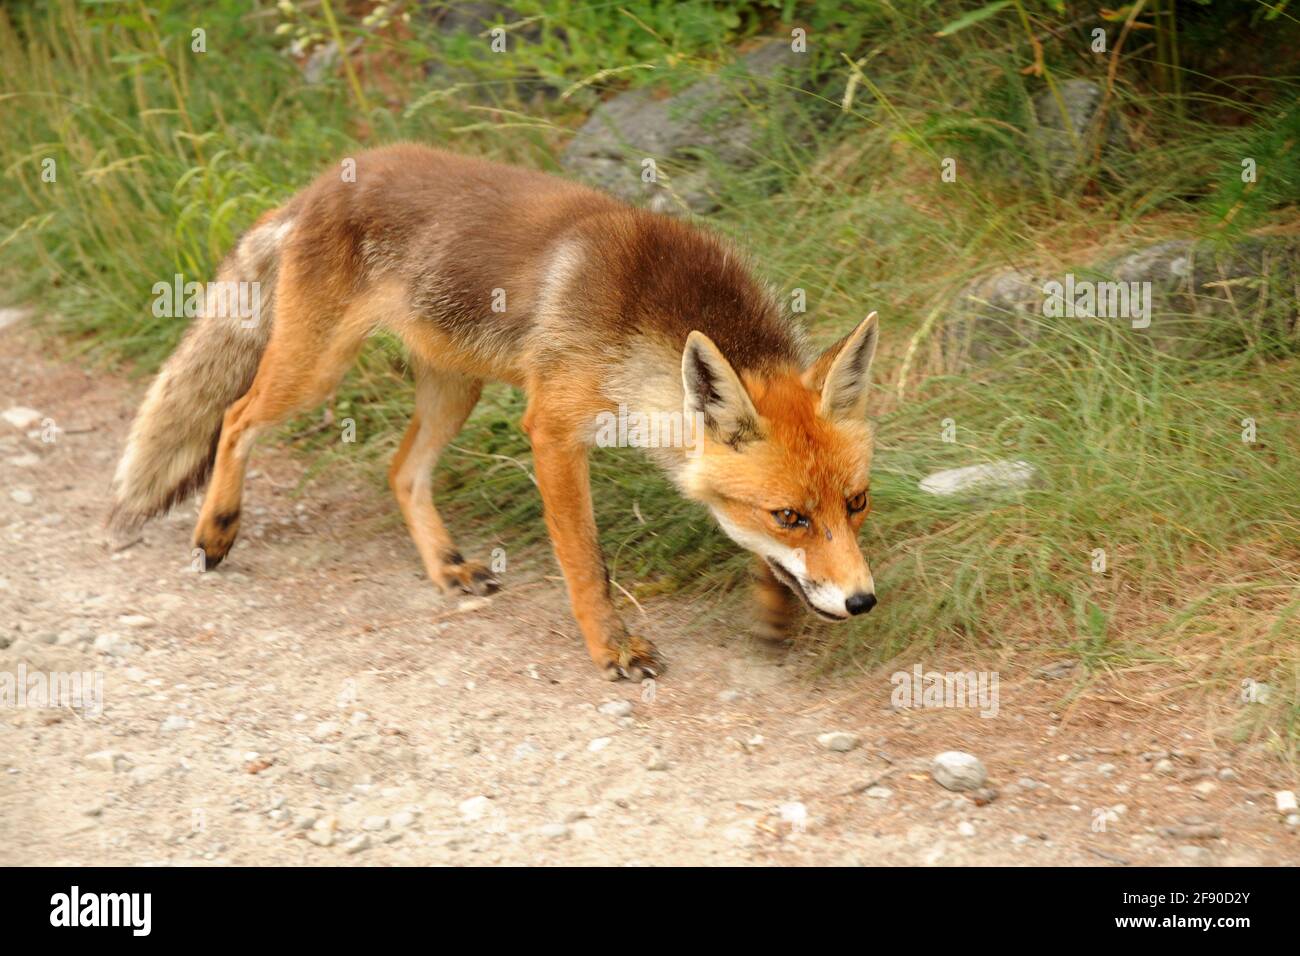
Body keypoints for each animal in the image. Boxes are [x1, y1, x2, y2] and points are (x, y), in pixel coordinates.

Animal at [108, 144, 880, 681]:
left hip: (454, 390)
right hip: (314, 370)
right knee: (235, 418)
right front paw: (612, 648)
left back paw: (445, 567)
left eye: (857, 502)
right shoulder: (555, 431)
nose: (863, 602)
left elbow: (754, 552)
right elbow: (587, 564)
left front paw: (775, 609)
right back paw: (217, 529)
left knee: (400, 471)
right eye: (790, 515)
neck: (639, 322)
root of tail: (319, 182)